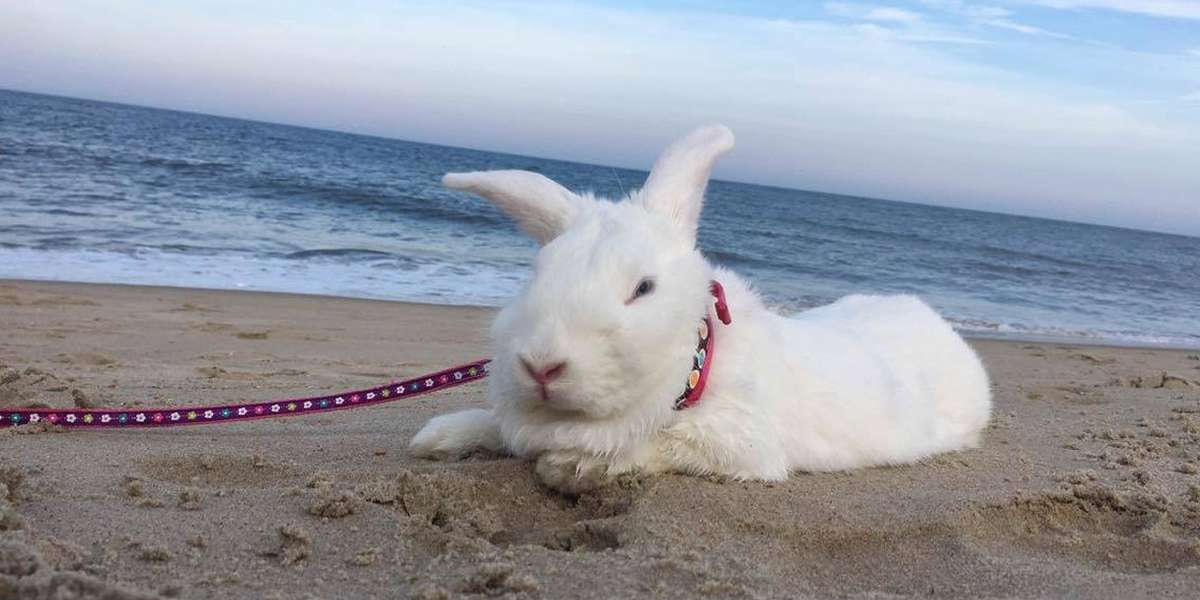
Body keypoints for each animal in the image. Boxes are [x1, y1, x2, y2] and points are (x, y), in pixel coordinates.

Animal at [409, 125, 992, 493]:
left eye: (643, 288)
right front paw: (434, 439)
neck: (693, 371)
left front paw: (570, 466)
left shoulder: (741, 444)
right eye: (536, 274)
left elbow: (663, 446)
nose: (542, 366)